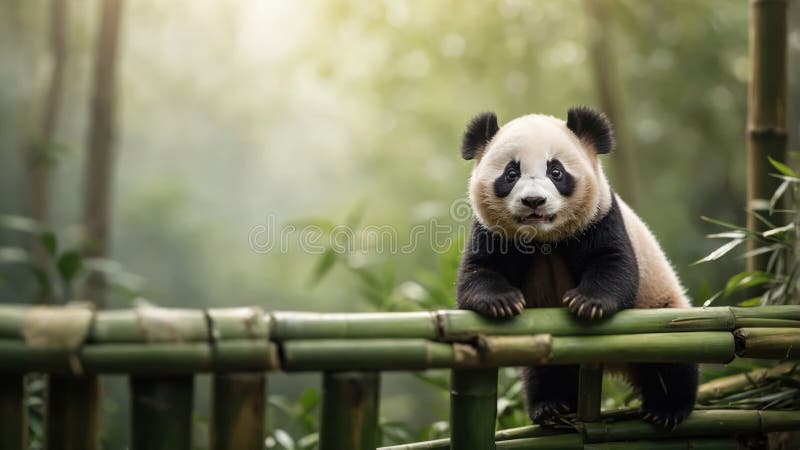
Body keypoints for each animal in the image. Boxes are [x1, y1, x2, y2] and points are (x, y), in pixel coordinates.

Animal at [455, 106, 698, 429]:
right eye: (511, 173)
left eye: (556, 172)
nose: (534, 201)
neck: (544, 239)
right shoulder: (491, 232)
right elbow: (478, 271)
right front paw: (502, 302)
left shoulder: (601, 216)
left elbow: (613, 263)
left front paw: (587, 303)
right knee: (546, 372)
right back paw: (551, 406)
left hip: (662, 309)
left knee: (672, 358)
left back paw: (667, 409)